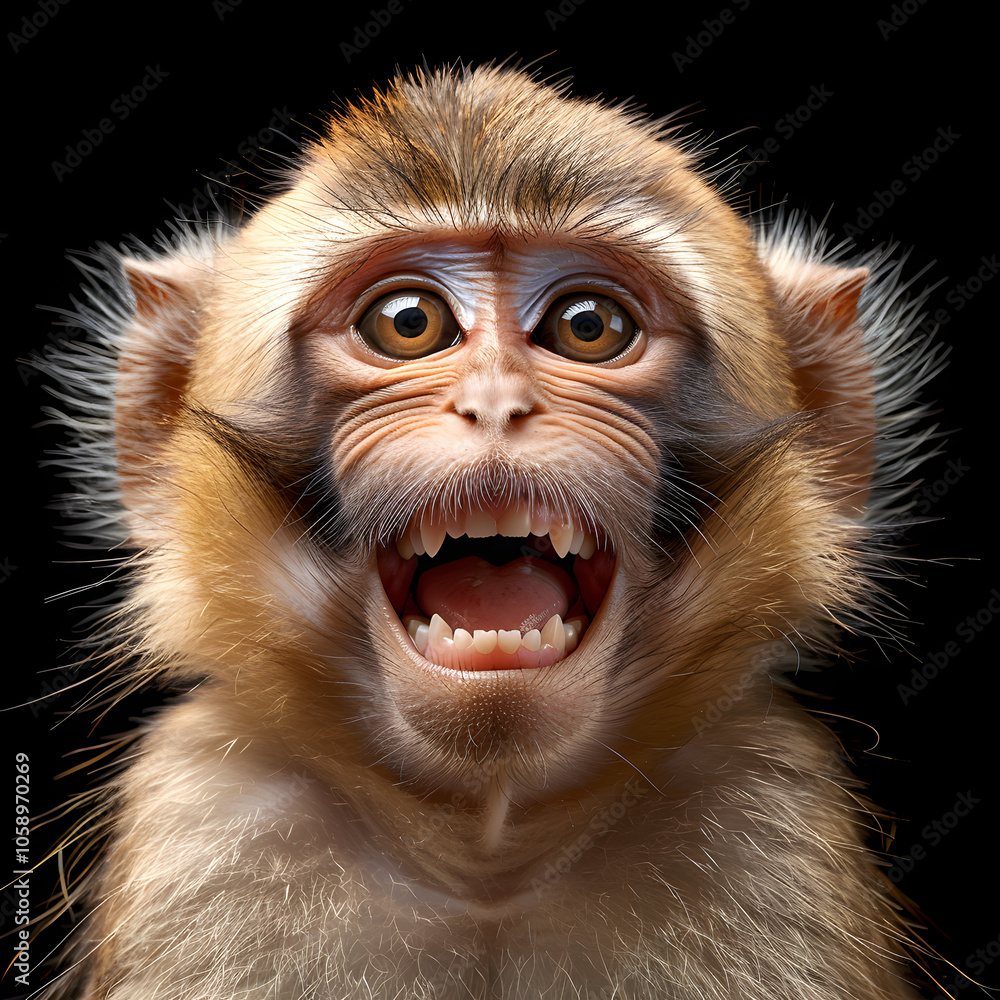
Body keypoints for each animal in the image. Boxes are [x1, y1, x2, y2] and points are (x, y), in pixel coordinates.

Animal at [36, 63, 943, 999]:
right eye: (408, 322)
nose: (496, 404)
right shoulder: (202, 828)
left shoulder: (769, 823)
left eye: (590, 326)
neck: (487, 857)